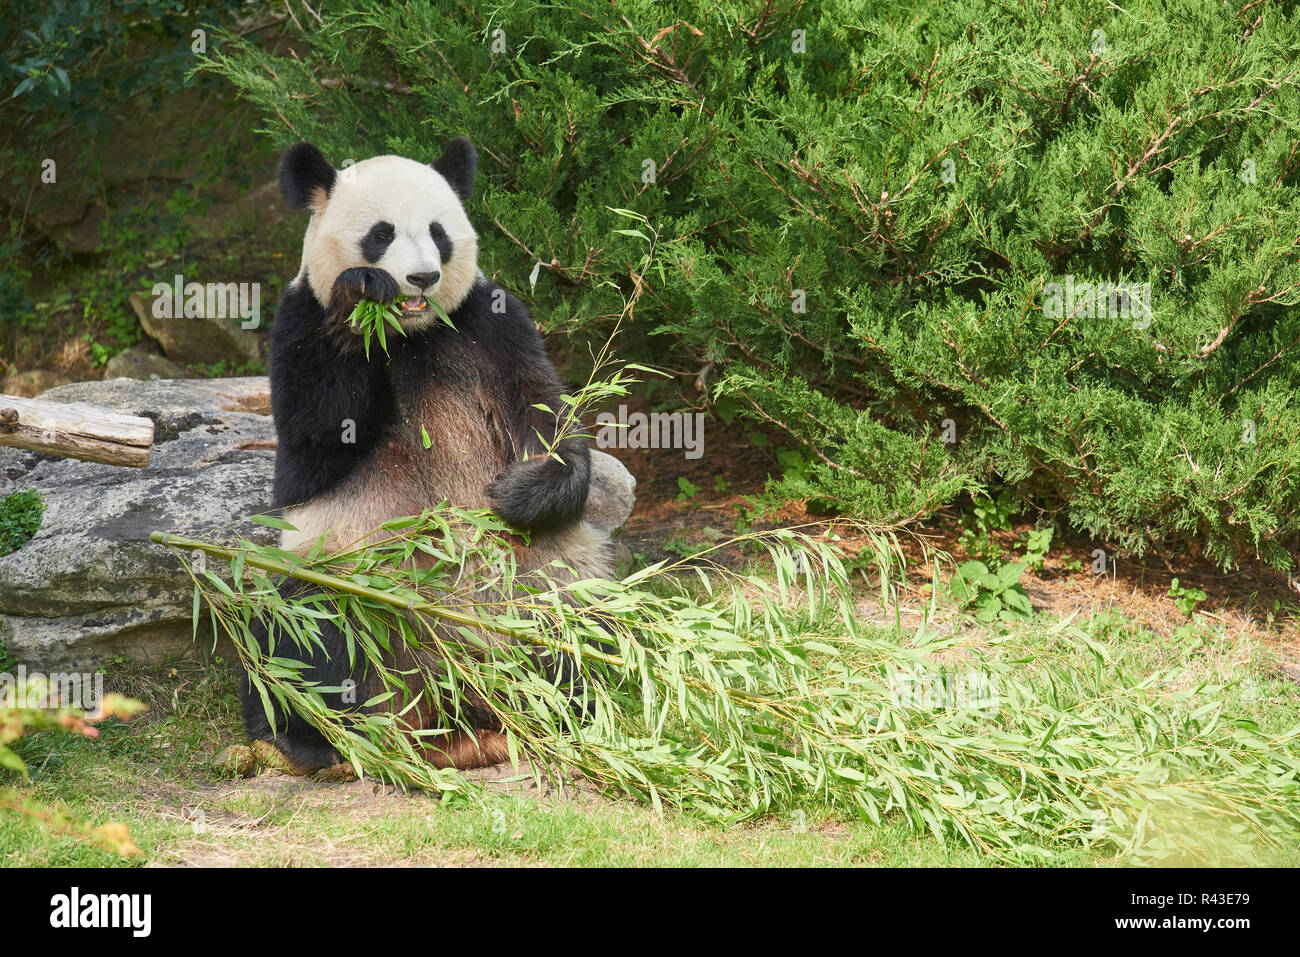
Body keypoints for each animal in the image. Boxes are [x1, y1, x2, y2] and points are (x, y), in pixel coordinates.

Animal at [240, 136, 611, 774]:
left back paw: (572, 712)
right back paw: (311, 738)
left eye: (438, 232)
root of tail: (442, 721)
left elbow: (545, 413)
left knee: (580, 629)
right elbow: (309, 452)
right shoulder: (297, 322)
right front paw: (361, 298)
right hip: (345, 572)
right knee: (304, 632)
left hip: (542, 580)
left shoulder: (490, 323)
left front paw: (520, 490)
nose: (421, 277)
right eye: (380, 234)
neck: (408, 333)